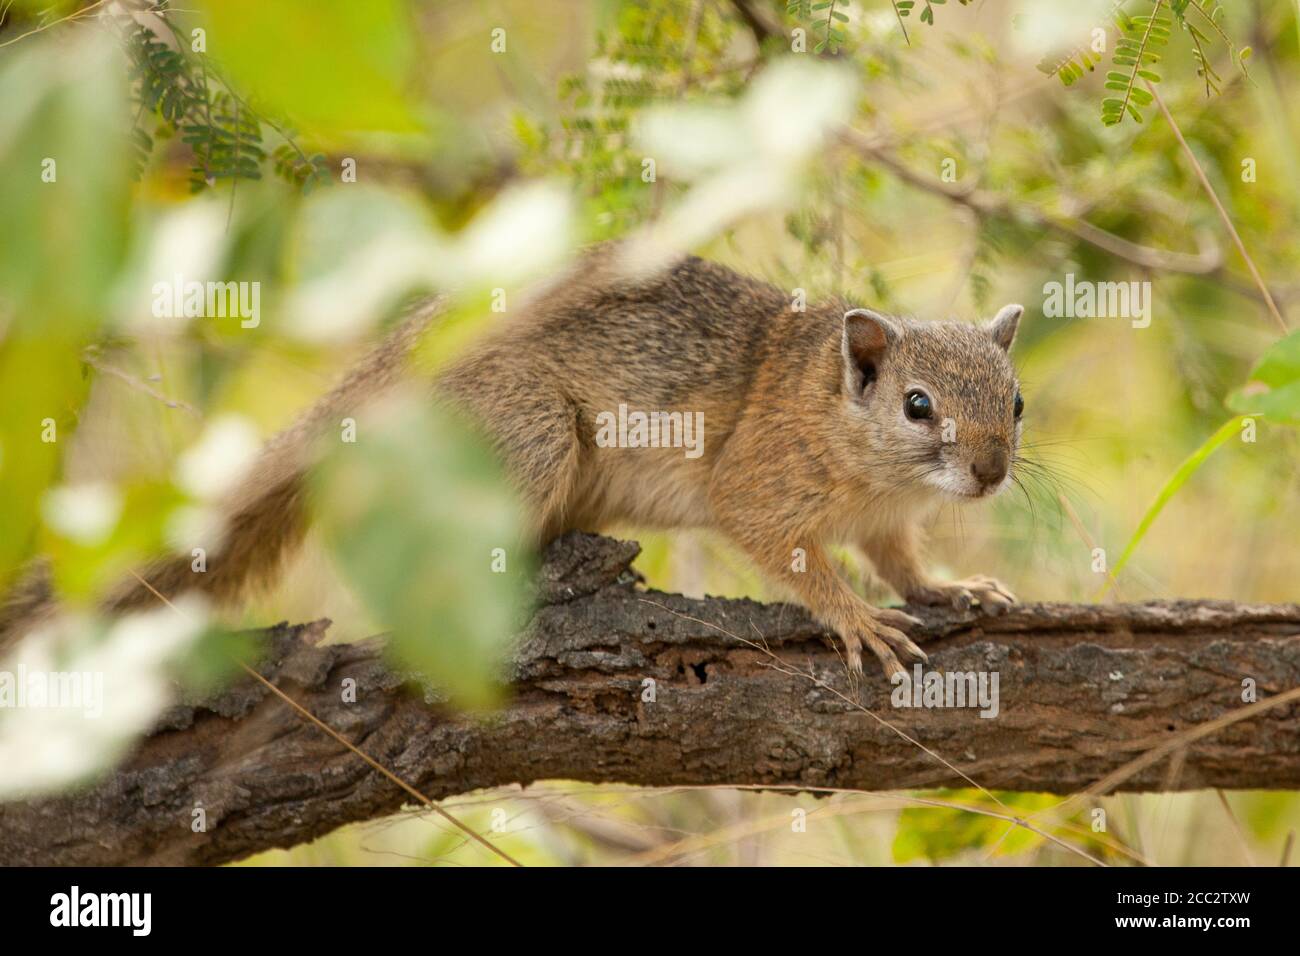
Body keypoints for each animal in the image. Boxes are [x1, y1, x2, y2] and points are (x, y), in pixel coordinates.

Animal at [9, 245, 1026, 681]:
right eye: (917, 405)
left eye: (1015, 402)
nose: (990, 475)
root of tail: (388, 371)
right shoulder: (760, 482)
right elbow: (793, 555)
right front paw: (860, 621)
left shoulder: (889, 522)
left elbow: (905, 561)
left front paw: (956, 588)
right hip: (528, 436)